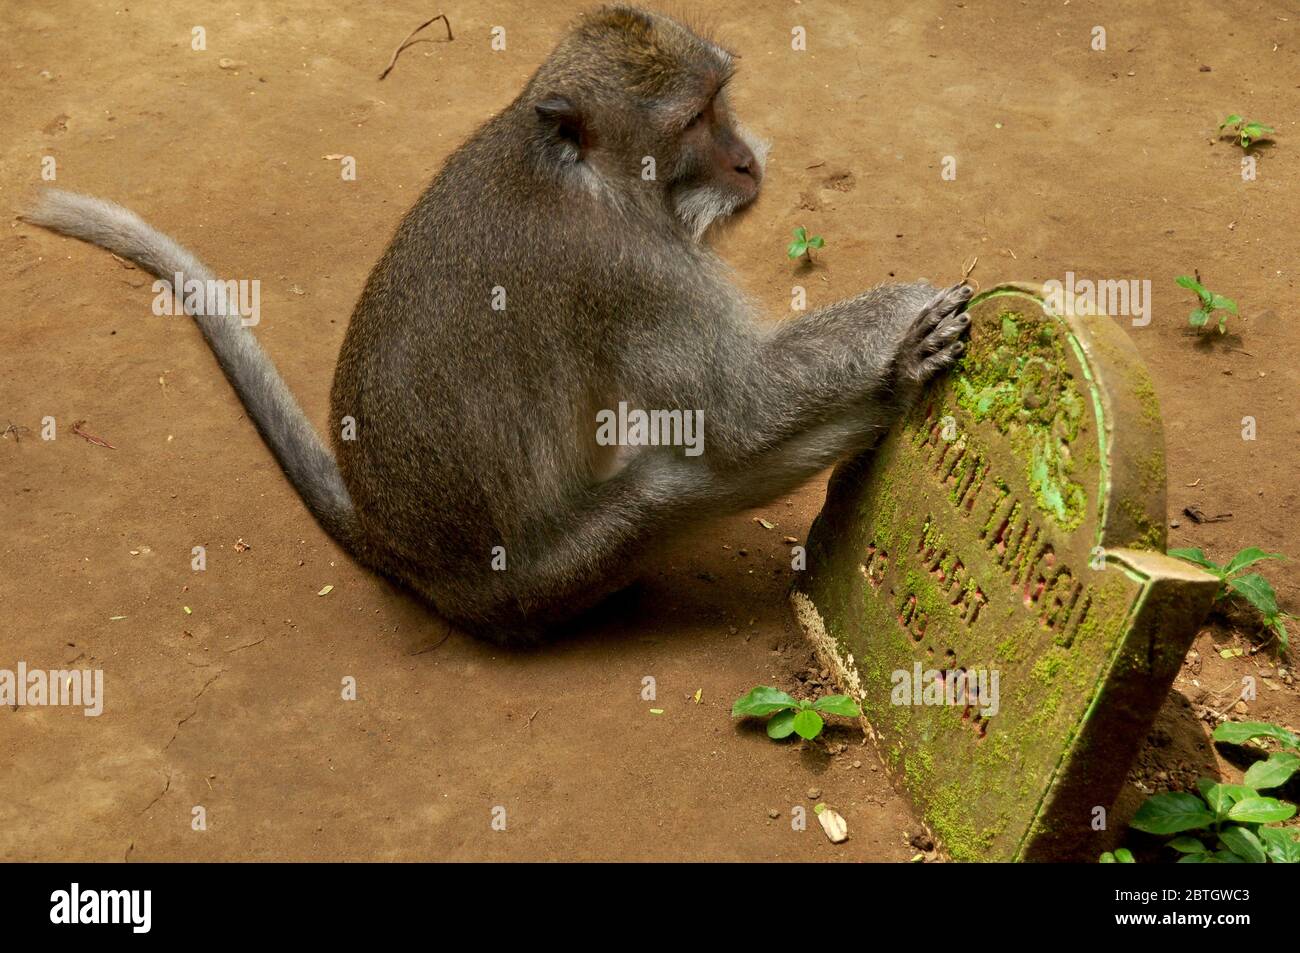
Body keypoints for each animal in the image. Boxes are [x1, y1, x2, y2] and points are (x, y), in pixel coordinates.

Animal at [25, 6, 971, 646]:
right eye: (694, 121)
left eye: (719, 99)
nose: (745, 161)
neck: (582, 171)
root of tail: (395, 546)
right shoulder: (628, 270)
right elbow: (734, 409)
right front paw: (903, 321)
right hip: (549, 582)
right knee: (684, 479)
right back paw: (888, 397)